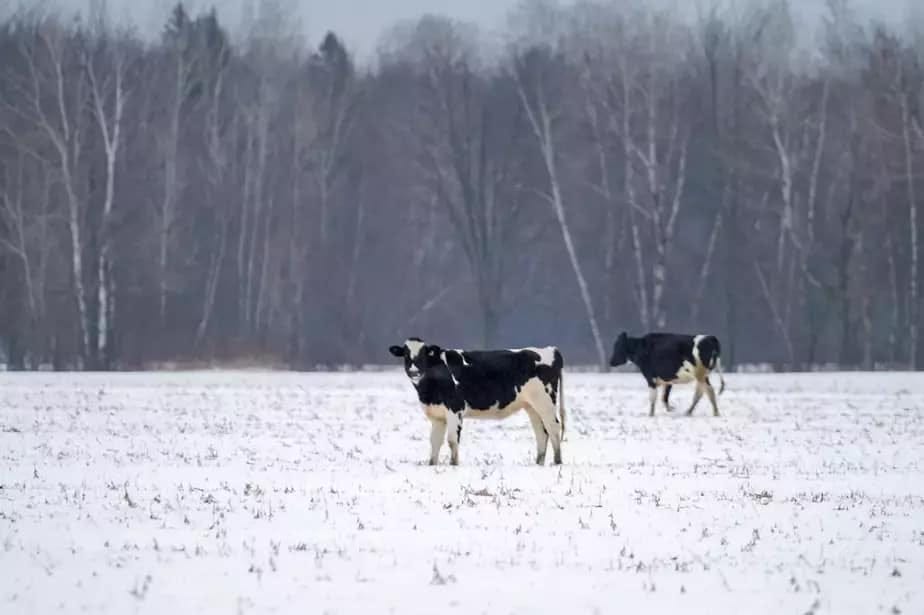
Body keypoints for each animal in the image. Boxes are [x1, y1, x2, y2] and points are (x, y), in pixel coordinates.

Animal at [389, 337, 566, 466]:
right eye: (405, 354)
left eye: (423, 354)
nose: (414, 371)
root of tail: (551, 349)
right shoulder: (437, 416)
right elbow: (435, 442)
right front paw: (432, 464)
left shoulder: (455, 409)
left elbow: (452, 440)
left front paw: (454, 464)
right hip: (531, 406)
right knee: (541, 432)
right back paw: (539, 462)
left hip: (545, 401)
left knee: (553, 427)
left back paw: (557, 462)